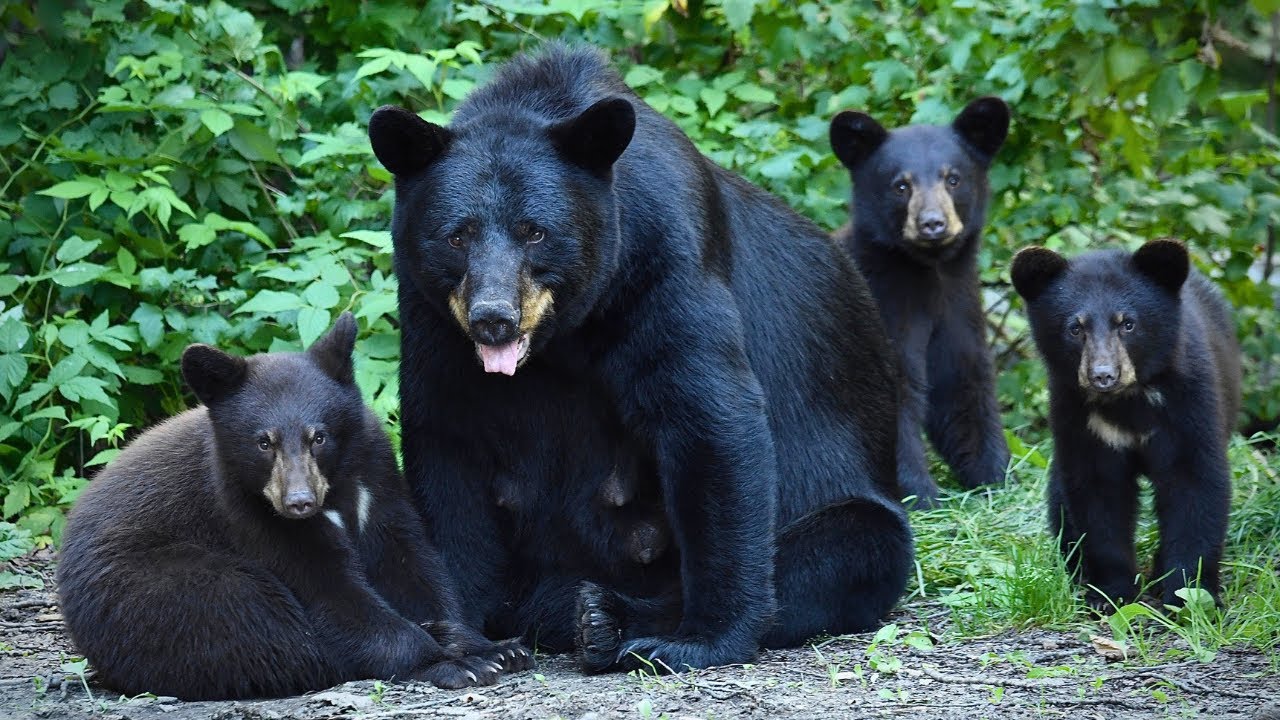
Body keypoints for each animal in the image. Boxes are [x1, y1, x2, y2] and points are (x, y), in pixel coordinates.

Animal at [56, 313, 530, 700]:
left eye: (318, 436)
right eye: (263, 442)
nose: (298, 503)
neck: (333, 492)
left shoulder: (376, 479)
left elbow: (410, 564)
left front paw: (490, 645)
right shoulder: (247, 515)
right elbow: (332, 597)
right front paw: (456, 662)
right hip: (156, 590)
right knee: (254, 626)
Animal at [367, 44, 913, 673]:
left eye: (534, 232)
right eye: (457, 235)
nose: (493, 317)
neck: (564, 332)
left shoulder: (663, 259)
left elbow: (708, 418)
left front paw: (703, 637)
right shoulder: (431, 312)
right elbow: (448, 442)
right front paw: (471, 645)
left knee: (848, 548)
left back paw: (605, 619)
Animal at [829, 97, 1013, 506]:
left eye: (953, 178)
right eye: (901, 185)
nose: (932, 223)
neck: (929, 274)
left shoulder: (959, 308)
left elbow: (962, 384)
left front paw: (995, 476)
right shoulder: (884, 310)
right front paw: (922, 495)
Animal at [1010, 239, 1241, 609]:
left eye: (1127, 323)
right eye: (1076, 327)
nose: (1103, 375)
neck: (1128, 401)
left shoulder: (1189, 404)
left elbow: (1195, 485)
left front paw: (1188, 595)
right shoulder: (1078, 416)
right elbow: (1098, 496)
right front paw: (1111, 594)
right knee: (1060, 500)